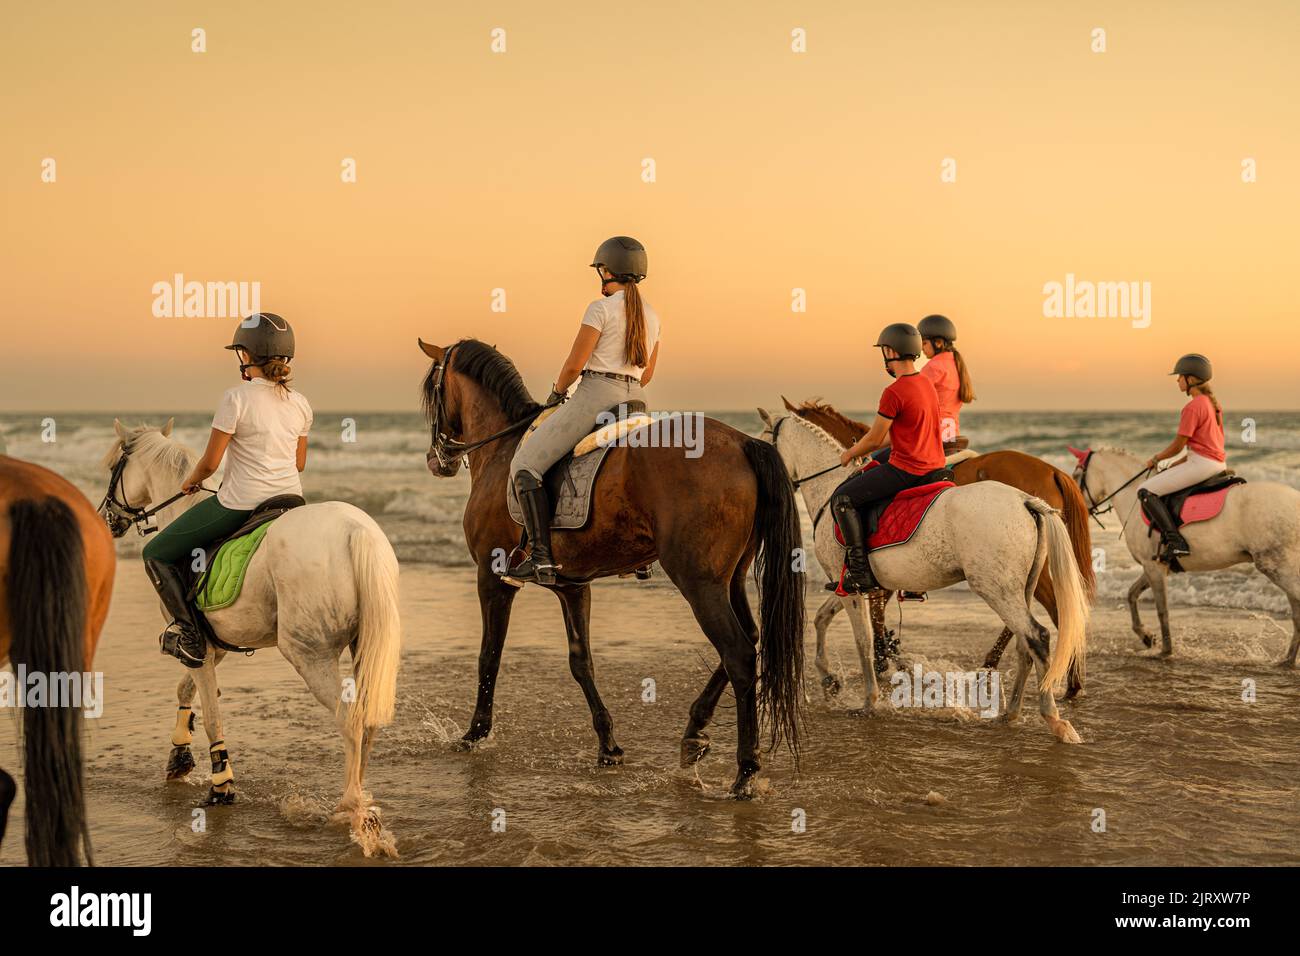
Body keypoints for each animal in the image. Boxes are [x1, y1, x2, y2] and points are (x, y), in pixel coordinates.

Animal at [98, 421, 403, 854]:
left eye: (113, 468)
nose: (108, 518)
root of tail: (355, 531)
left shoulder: (200, 648)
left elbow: (211, 715)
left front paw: (221, 785)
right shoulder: (210, 646)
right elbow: (185, 690)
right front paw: (179, 756)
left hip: (308, 653)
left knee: (350, 720)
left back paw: (350, 806)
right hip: (364, 648)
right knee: (368, 720)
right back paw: (364, 801)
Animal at [417, 338, 805, 797]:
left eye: (433, 392)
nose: (436, 459)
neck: (502, 449)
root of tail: (744, 443)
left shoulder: (493, 577)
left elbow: (488, 655)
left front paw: (474, 734)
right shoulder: (572, 585)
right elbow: (581, 661)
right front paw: (608, 746)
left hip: (699, 581)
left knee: (738, 653)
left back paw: (744, 771)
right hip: (732, 579)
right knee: (750, 641)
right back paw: (694, 736)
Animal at [759, 410, 1088, 742]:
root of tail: (1026, 501)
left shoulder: (854, 590)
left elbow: (863, 640)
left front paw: (869, 700)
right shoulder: (854, 586)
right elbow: (823, 619)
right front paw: (830, 680)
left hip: (997, 588)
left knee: (1038, 636)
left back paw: (1053, 717)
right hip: (1021, 587)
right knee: (1025, 643)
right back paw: (1011, 712)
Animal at [1071, 446, 1300, 665]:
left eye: (1076, 476)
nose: (1078, 508)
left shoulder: (1154, 568)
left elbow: (1162, 610)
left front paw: (1165, 651)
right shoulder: (1156, 566)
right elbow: (1131, 594)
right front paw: (1147, 637)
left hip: (1276, 566)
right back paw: (1287, 660)